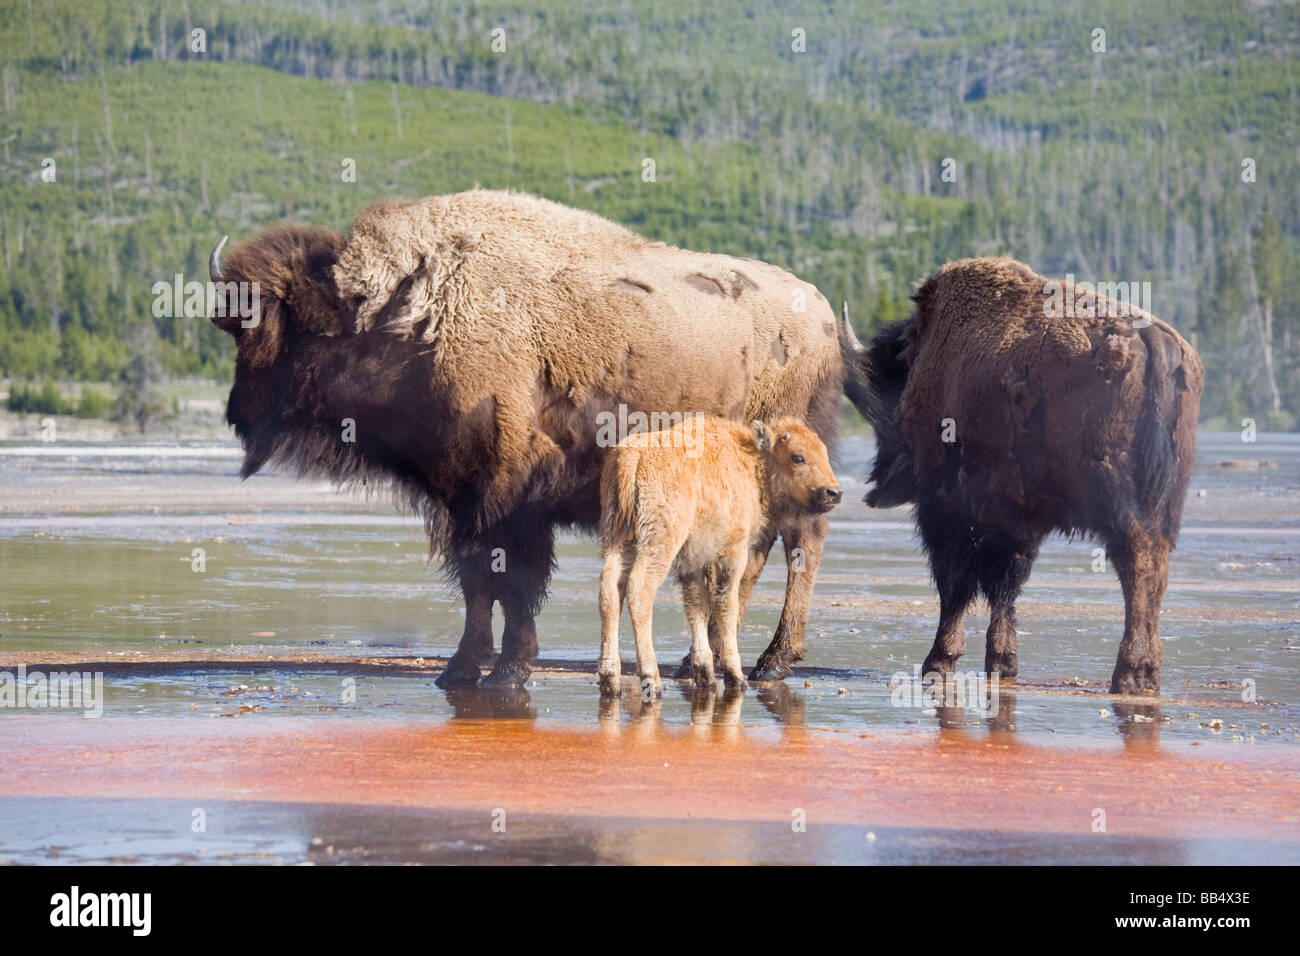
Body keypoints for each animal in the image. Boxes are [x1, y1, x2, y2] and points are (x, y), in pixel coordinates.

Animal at [597, 415, 841, 697]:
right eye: (797, 457)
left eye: (823, 452)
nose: (834, 492)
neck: (752, 462)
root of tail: (632, 458)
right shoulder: (733, 554)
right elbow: (727, 606)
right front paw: (735, 675)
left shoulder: (691, 563)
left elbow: (697, 606)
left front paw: (705, 673)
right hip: (659, 543)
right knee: (640, 591)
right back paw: (651, 677)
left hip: (618, 540)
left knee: (610, 591)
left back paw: (609, 678)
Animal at [839, 256, 1204, 694]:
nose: (878, 487)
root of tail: (1155, 344)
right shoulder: (1017, 517)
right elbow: (1005, 585)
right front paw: (1002, 661)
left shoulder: (948, 507)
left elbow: (957, 582)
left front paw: (939, 660)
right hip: (1165, 506)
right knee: (1154, 569)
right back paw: (1145, 674)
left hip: (1118, 503)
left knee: (1136, 564)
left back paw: (1130, 673)